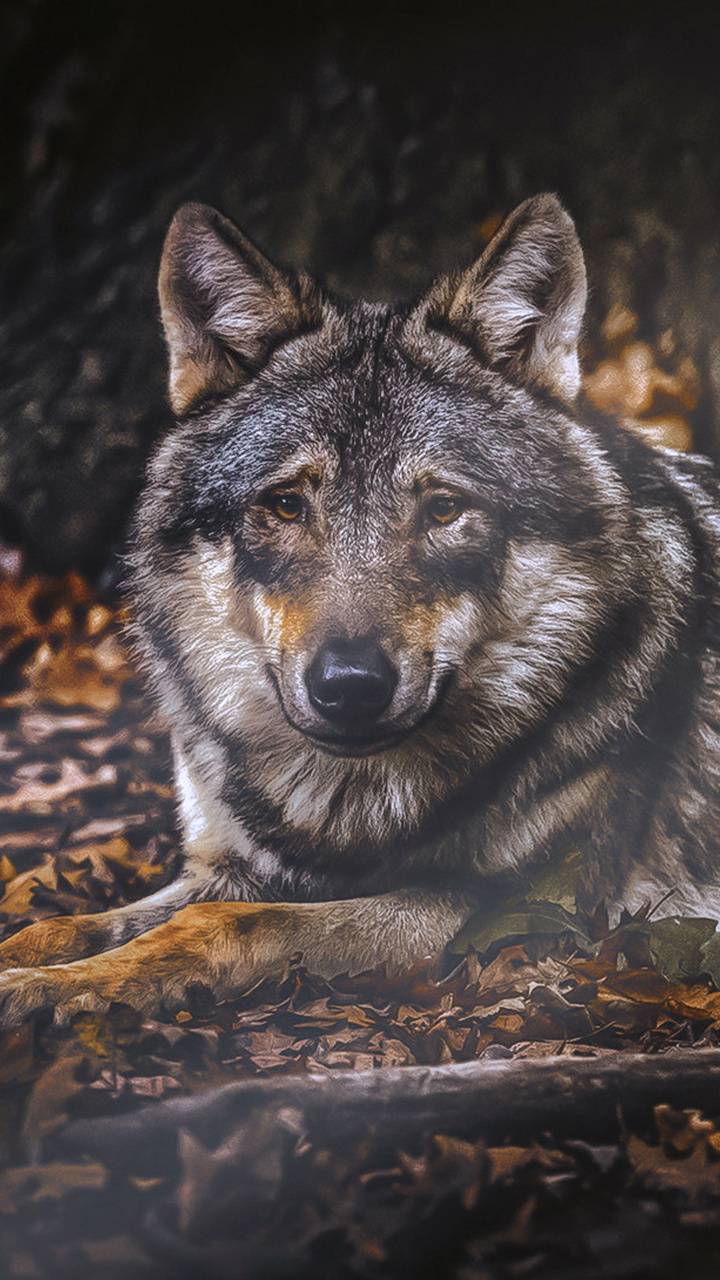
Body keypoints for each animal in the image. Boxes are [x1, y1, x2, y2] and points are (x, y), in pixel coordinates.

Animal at [1, 193, 720, 1023]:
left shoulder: (509, 910)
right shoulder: (224, 864)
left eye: (443, 510)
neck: (342, 811)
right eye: (286, 505)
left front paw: (54, 992)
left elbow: (225, 924)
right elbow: (59, 926)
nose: (349, 686)